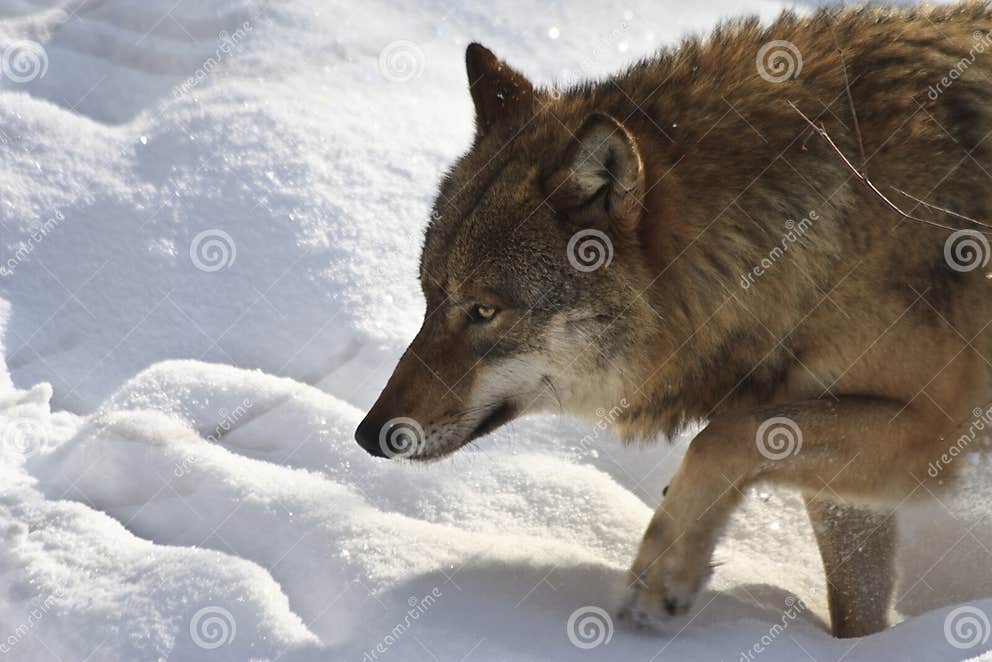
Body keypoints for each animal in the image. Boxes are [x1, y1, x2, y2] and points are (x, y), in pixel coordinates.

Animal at [355, 2, 992, 637]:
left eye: (484, 310)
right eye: (428, 295)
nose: (368, 435)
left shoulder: (931, 429)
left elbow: (720, 438)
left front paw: (661, 575)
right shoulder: (850, 472)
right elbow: (855, 606)